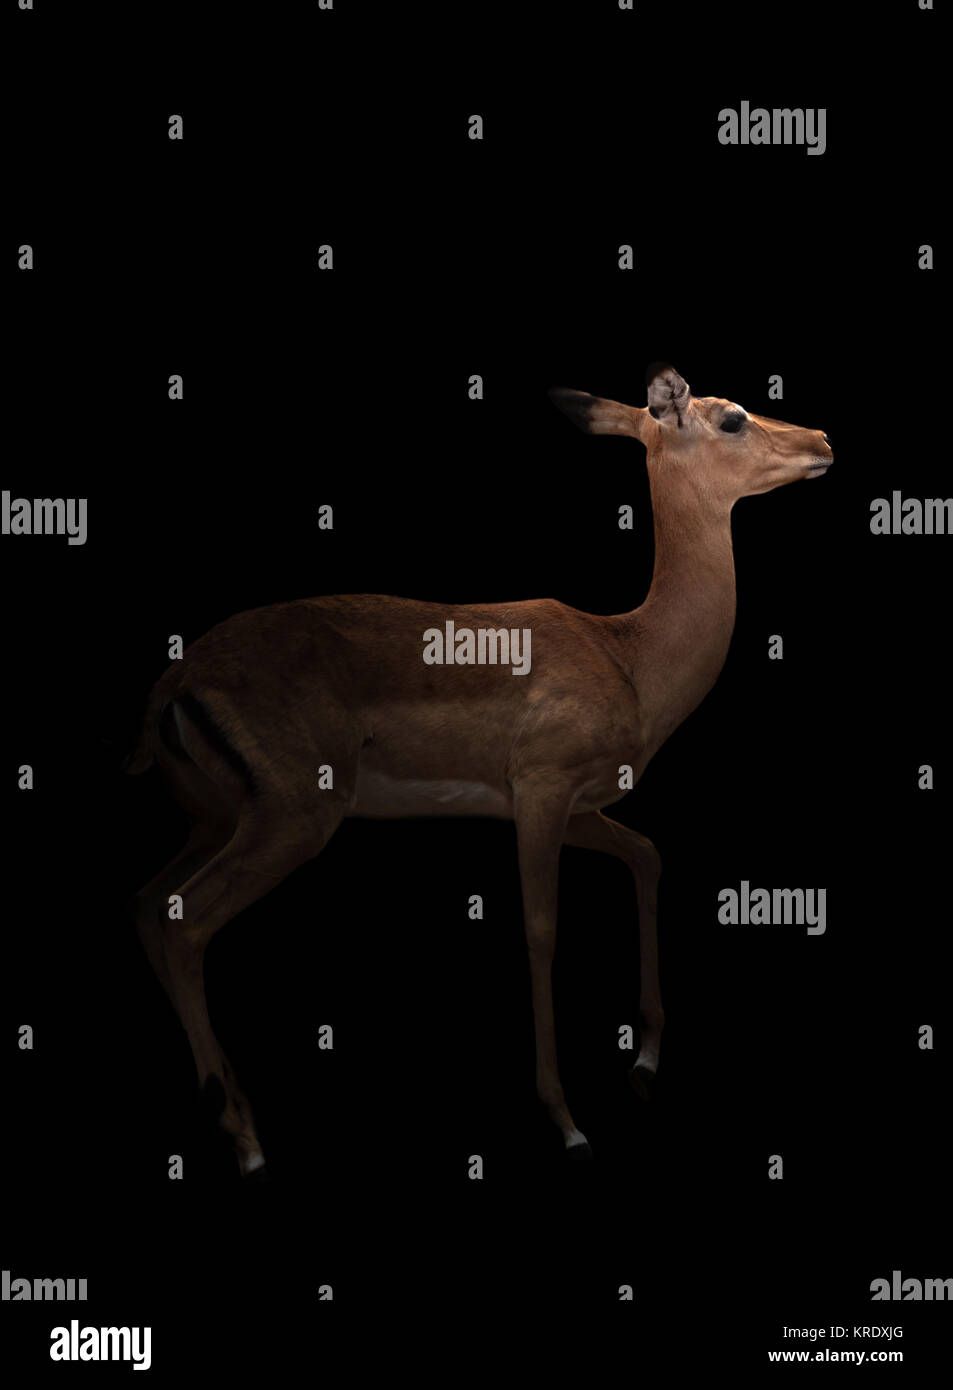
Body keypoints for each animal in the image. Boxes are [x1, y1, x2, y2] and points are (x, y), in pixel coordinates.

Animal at [126, 363, 832, 1177]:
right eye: (731, 418)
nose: (821, 441)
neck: (629, 653)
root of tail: (177, 681)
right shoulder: (542, 792)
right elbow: (540, 930)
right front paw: (568, 1124)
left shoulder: (570, 805)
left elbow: (649, 855)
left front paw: (645, 1066)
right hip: (293, 818)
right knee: (184, 922)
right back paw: (247, 1146)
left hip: (218, 819)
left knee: (149, 903)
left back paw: (232, 1111)